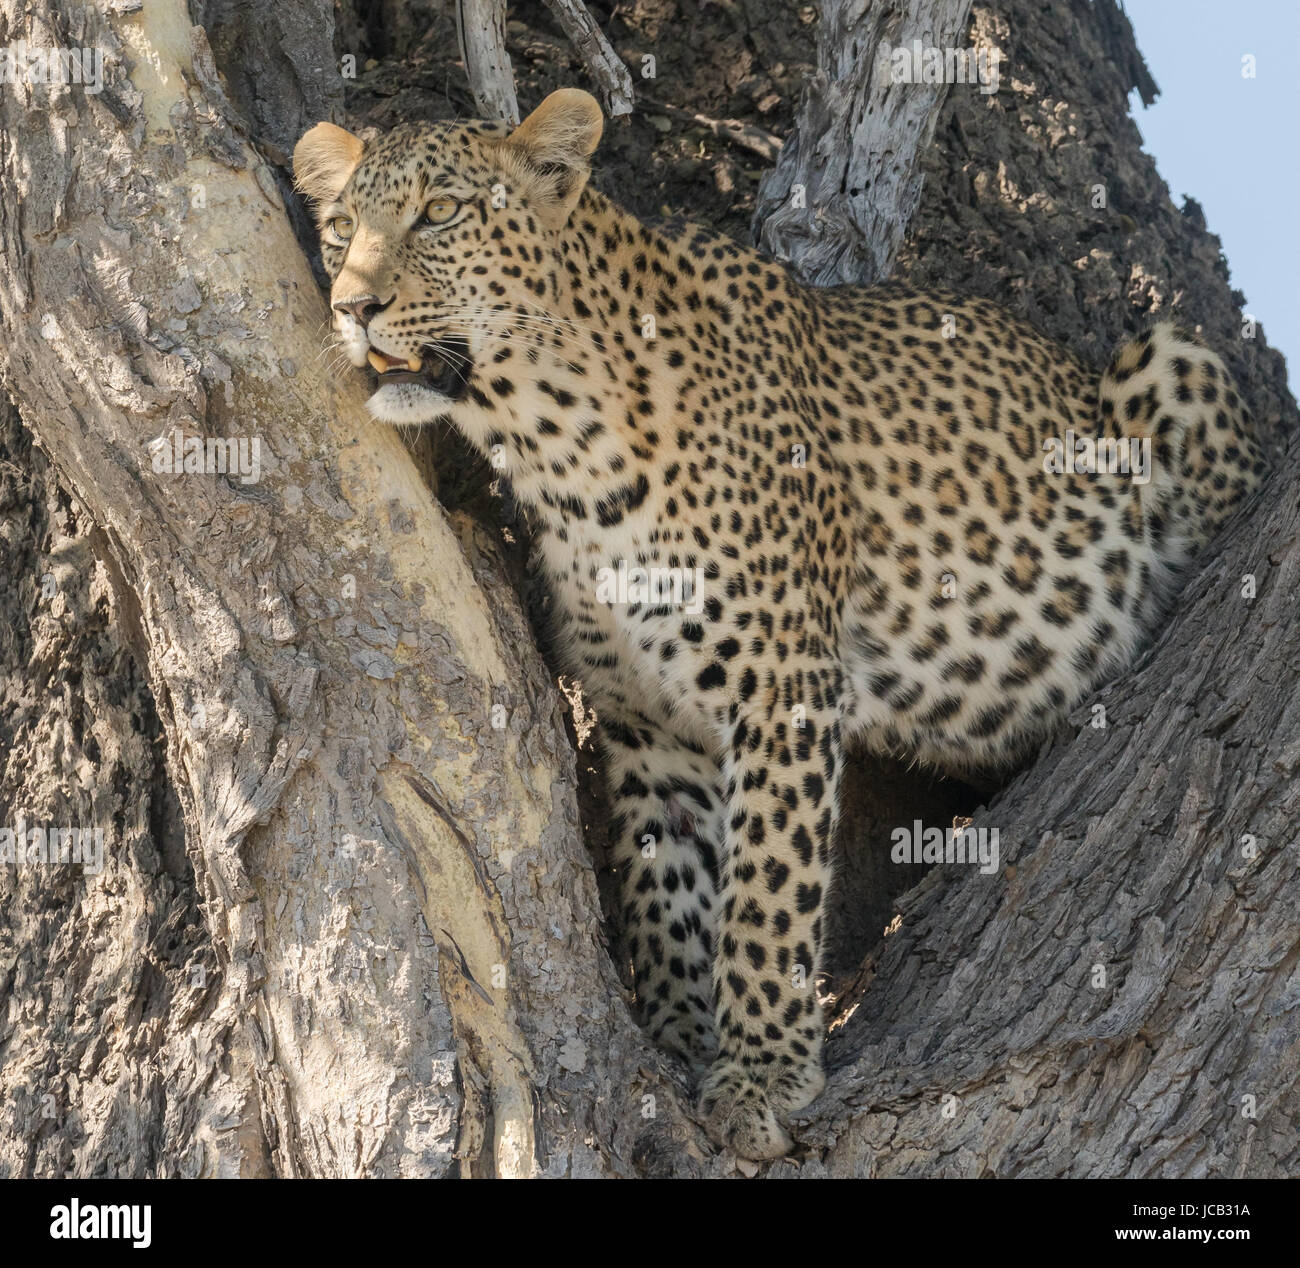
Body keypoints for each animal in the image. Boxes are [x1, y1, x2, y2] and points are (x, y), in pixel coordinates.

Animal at [294, 89, 1265, 1161]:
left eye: (438, 215)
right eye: (340, 231)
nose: (352, 308)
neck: (556, 446)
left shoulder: (784, 684)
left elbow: (766, 886)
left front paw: (760, 1073)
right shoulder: (645, 716)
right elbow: (666, 882)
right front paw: (680, 1034)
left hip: (1165, 357)